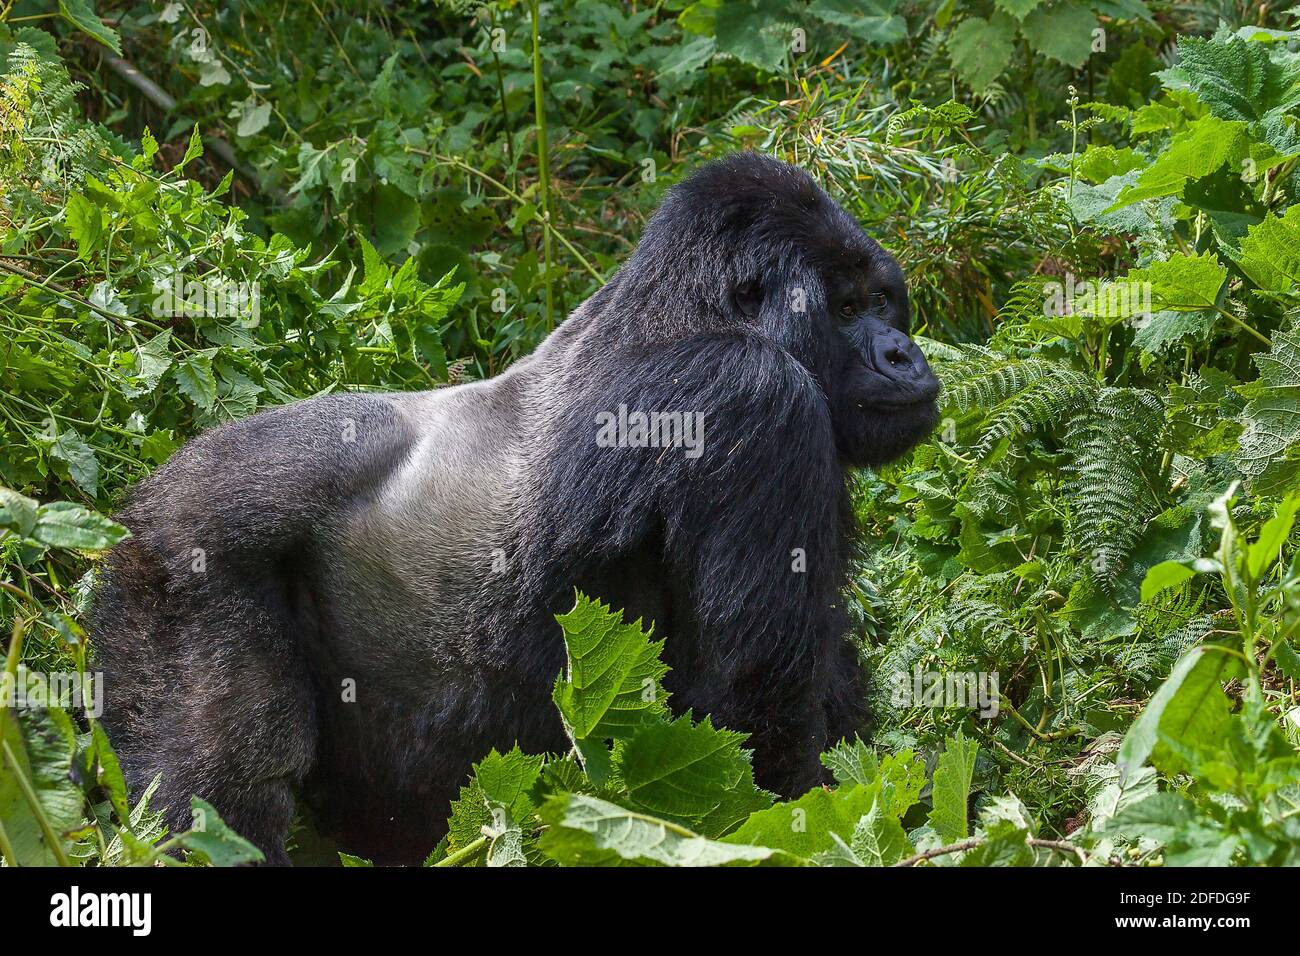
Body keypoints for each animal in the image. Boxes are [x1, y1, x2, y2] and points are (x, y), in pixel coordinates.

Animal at [91, 152, 940, 865]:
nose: (906, 354)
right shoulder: (757, 401)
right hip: (182, 565)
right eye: (846, 307)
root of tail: (145, 496)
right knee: (223, 790)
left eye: (883, 301)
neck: (683, 311)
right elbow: (752, 719)